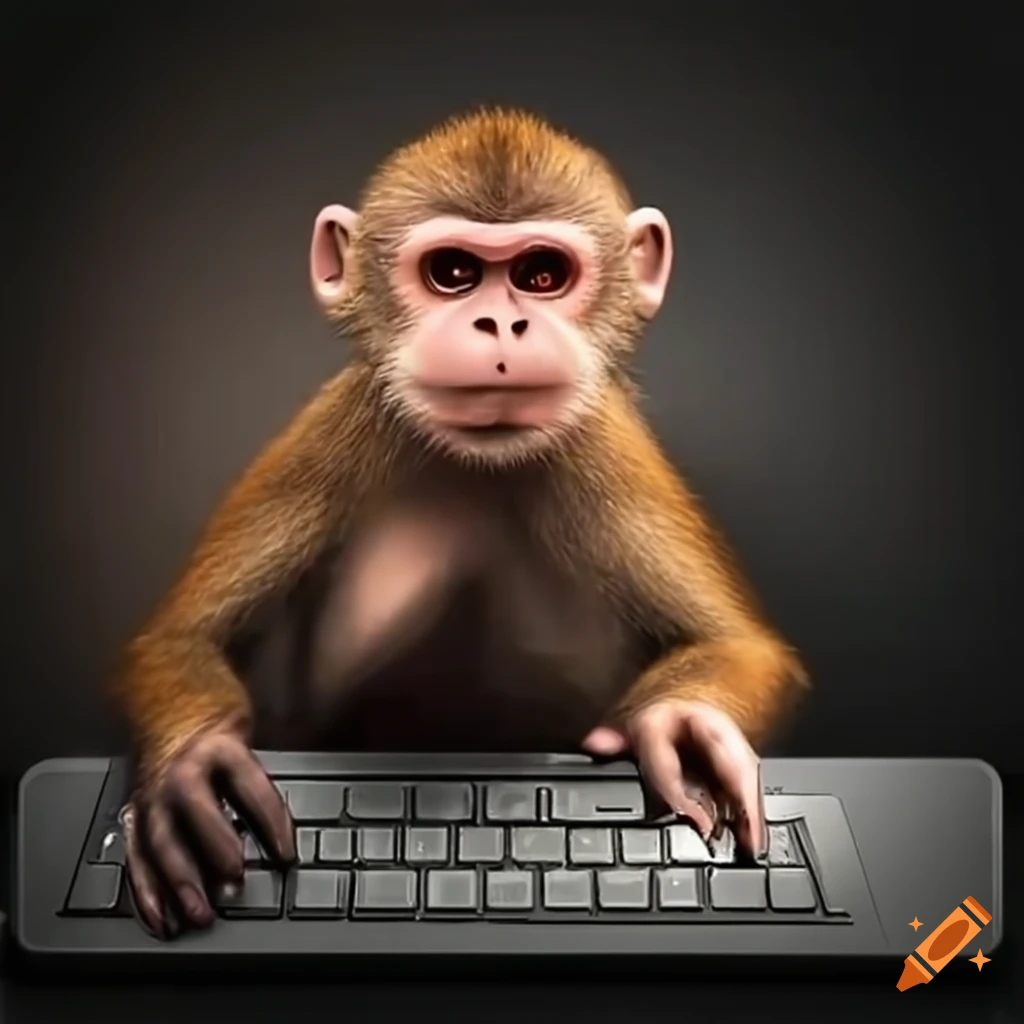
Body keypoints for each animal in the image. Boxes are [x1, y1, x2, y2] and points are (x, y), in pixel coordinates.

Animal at [112, 108, 810, 938]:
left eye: (540, 276)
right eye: (452, 273)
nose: (499, 323)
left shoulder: (602, 444)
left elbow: (740, 648)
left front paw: (680, 727)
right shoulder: (342, 422)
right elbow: (177, 639)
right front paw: (194, 769)